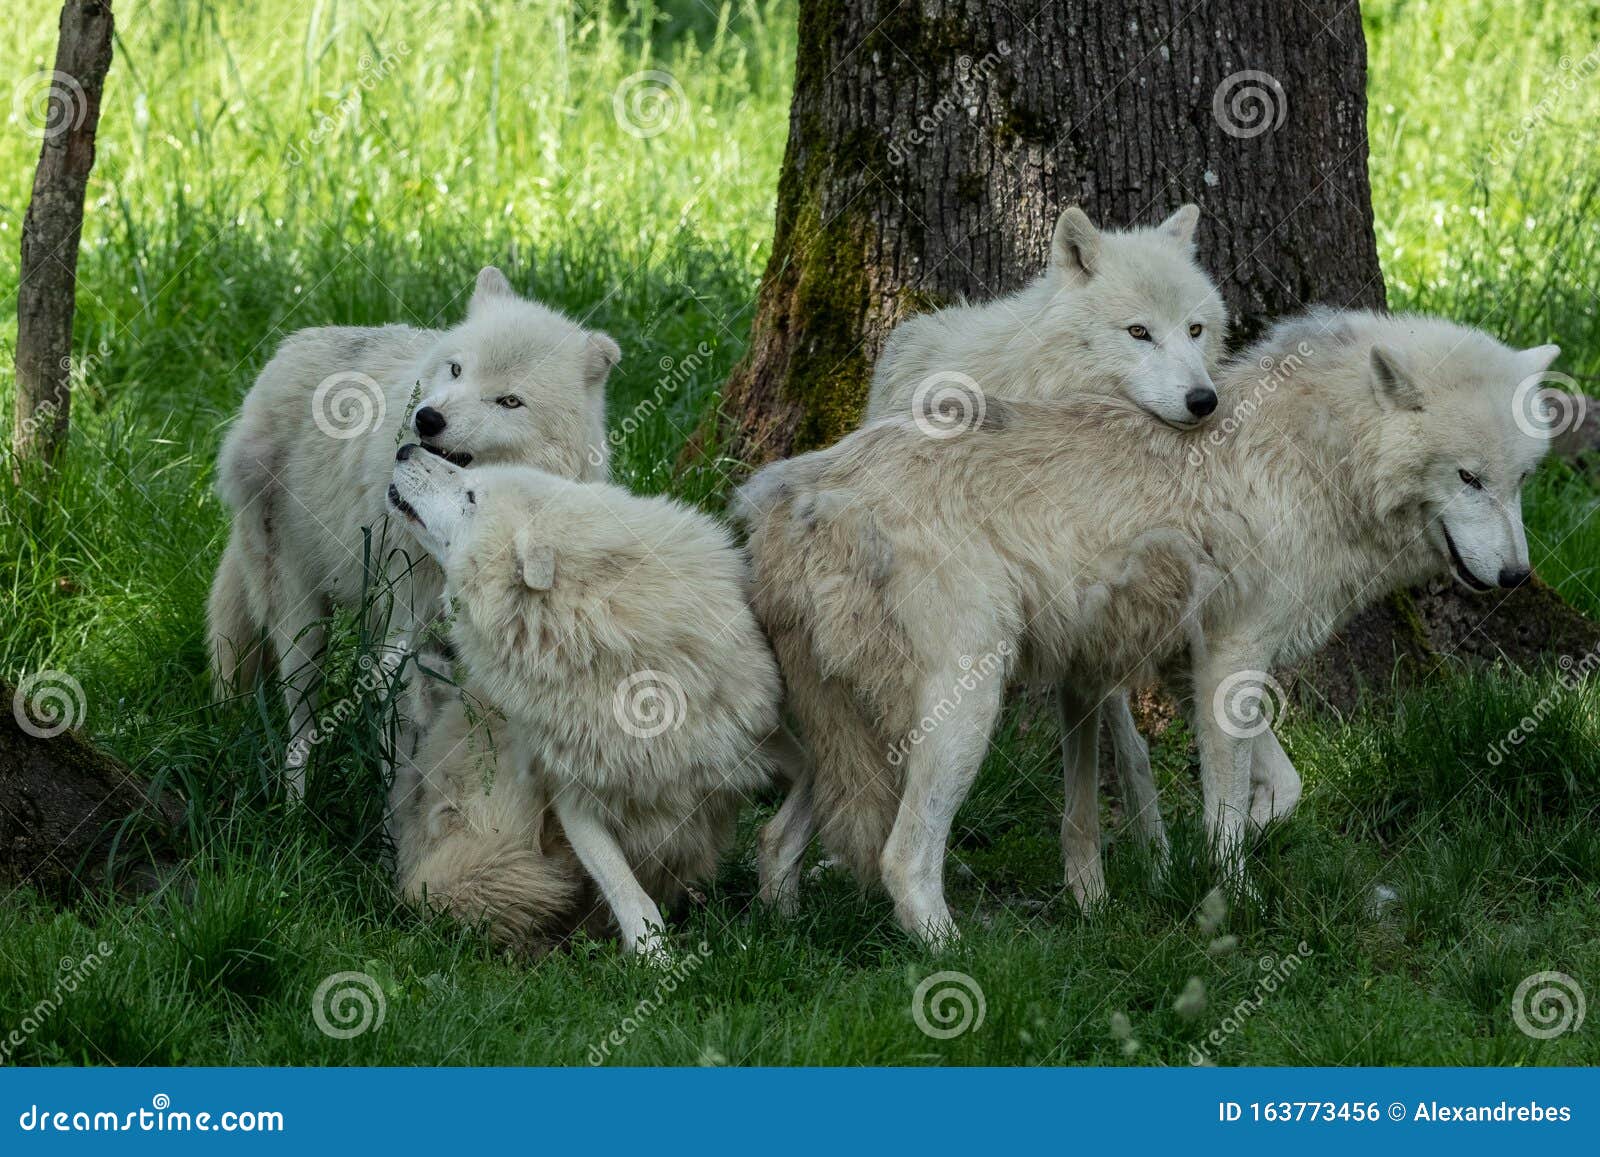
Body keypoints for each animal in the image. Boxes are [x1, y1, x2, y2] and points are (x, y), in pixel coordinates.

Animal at [207, 267, 619, 796]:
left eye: (509, 401)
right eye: (457, 370)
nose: (428, 418)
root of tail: (286, 349)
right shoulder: (407, 629)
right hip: (301, 617)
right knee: (300, 713)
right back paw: (296, 801)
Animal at [387, 450, 794, 957]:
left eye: (471, 495)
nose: (405, 450)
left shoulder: (776, 739)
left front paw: (783, 905)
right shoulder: (575, 789)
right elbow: (626, 887)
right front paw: (654, 957)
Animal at [738, 308, 1558, 943]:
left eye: (1519, 480)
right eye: (1467, 479)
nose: (1516, 577)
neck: (1317, 454)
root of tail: (795, 495)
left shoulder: (1196, 662)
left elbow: (1281, 788)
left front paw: (1188, 853)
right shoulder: (1233, 654)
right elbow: (1225, 810)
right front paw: (1232, 894)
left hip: (859, 731)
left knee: (777, 838)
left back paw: (784, 934)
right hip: (965, 709)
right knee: (901, 860)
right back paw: (960, 959)